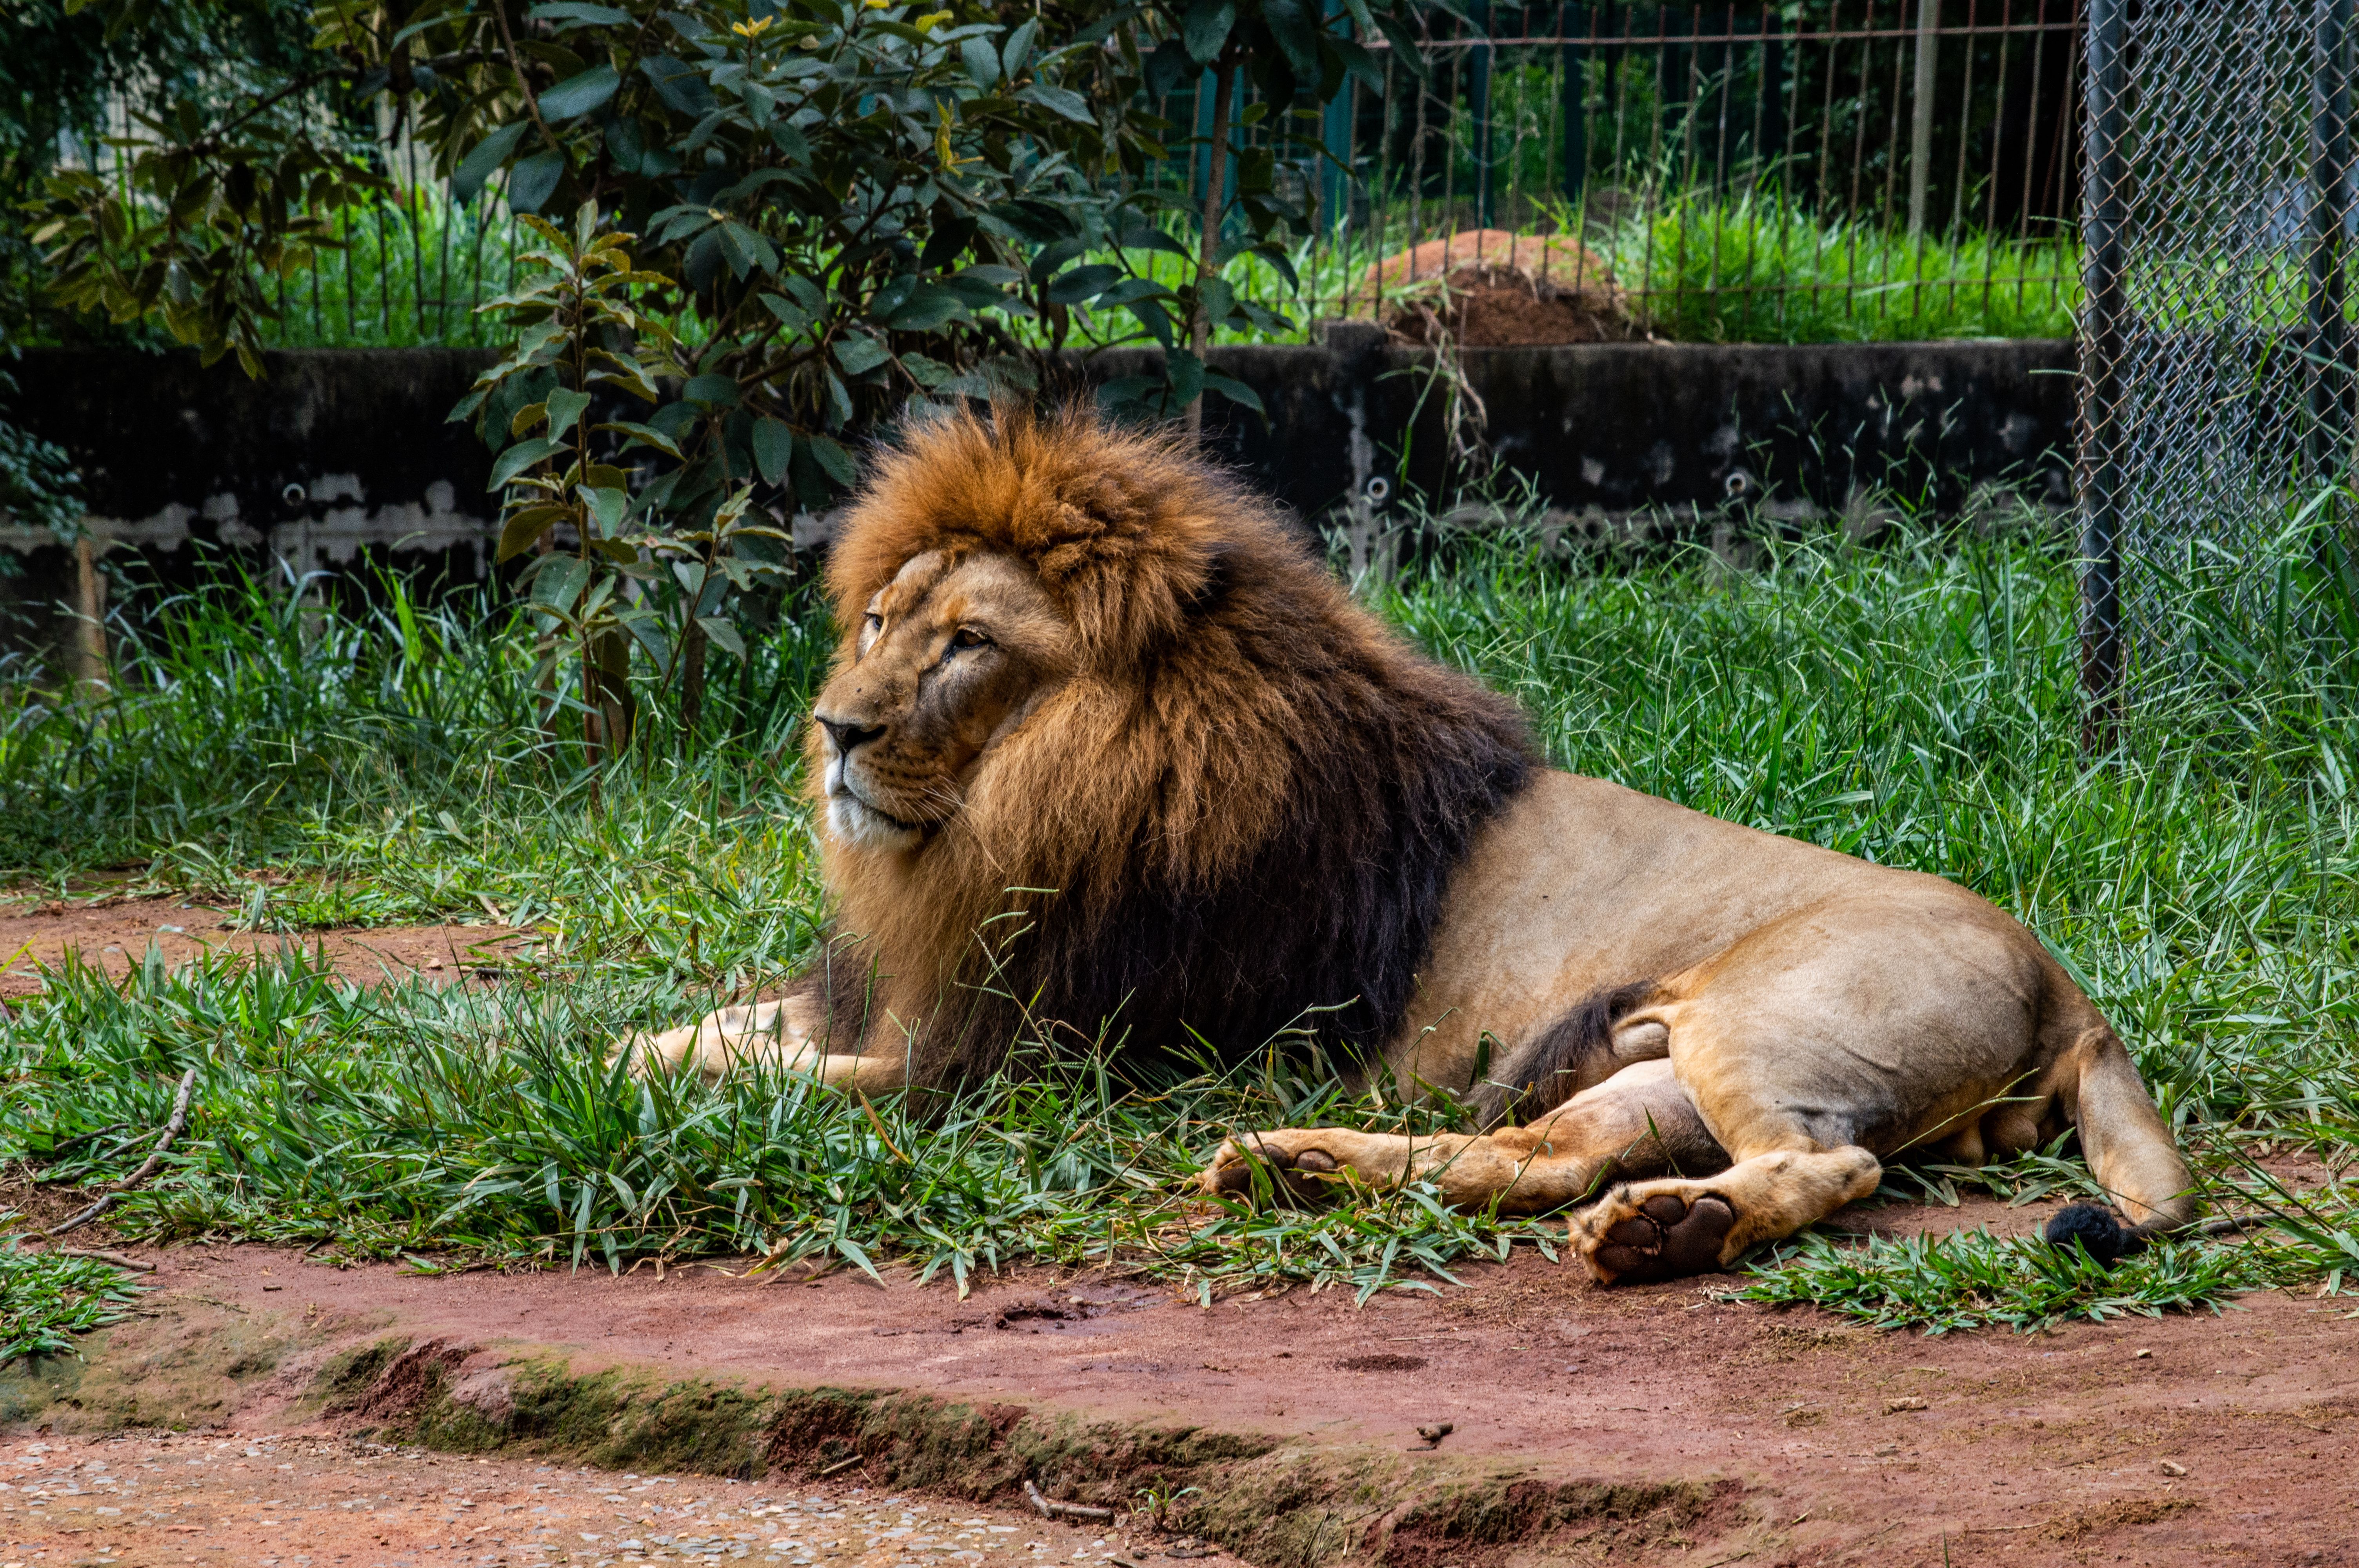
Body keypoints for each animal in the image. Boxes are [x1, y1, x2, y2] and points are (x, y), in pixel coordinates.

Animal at [620, 405, 2196, 1284]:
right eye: (880, 620)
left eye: (966, 646)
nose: (832, 727)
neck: (1013, 807)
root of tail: (2064, 979)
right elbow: (696, 1037)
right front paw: (607, 1045)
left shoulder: (1028, 1054)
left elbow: (769, 1079)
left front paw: (625, 1081)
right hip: (1655, 1059)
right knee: (1546, 1158)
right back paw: (1303, 1166)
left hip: (1760, 1022)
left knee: (1827, 1173)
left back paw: (1659, 1236)